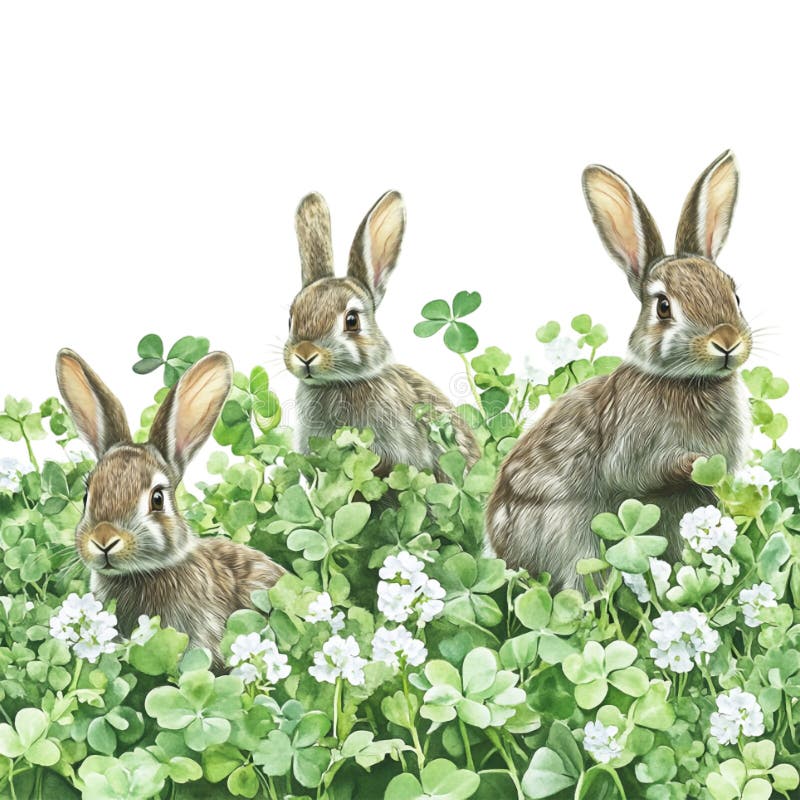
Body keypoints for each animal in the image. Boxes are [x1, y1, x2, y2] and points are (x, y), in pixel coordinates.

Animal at [487, 150, 752, 593]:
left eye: (734, 294)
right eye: (663, 307)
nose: (727, 341)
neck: (687, 382)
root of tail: (499, 548)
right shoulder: (629, 446)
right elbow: (634, 473)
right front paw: (694, 463)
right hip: (570, 534)